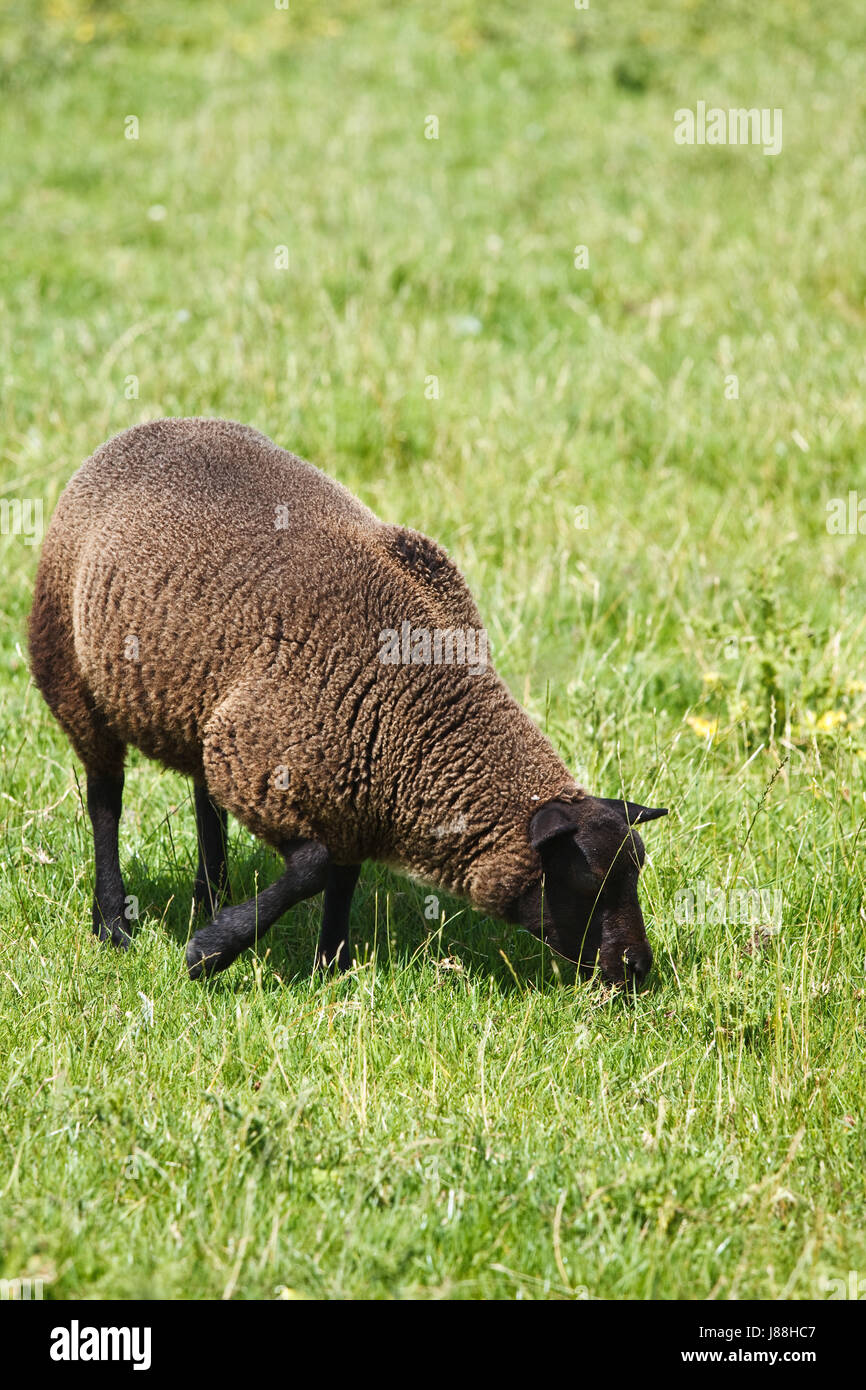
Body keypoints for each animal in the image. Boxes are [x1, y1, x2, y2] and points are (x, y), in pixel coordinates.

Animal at [28, 418, 667, 986]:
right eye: (588, 883)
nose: (639, 970)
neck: (420, 712)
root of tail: (147, 427)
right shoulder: (273, 763)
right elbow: (312, 870)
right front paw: (211, 951)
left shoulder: (351, 789)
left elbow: (341, 875)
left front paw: (330, 964)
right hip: (71, 675)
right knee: (105, 800)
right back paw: (113, 922)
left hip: (200, 709)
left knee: (203, 799)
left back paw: (209, 895)